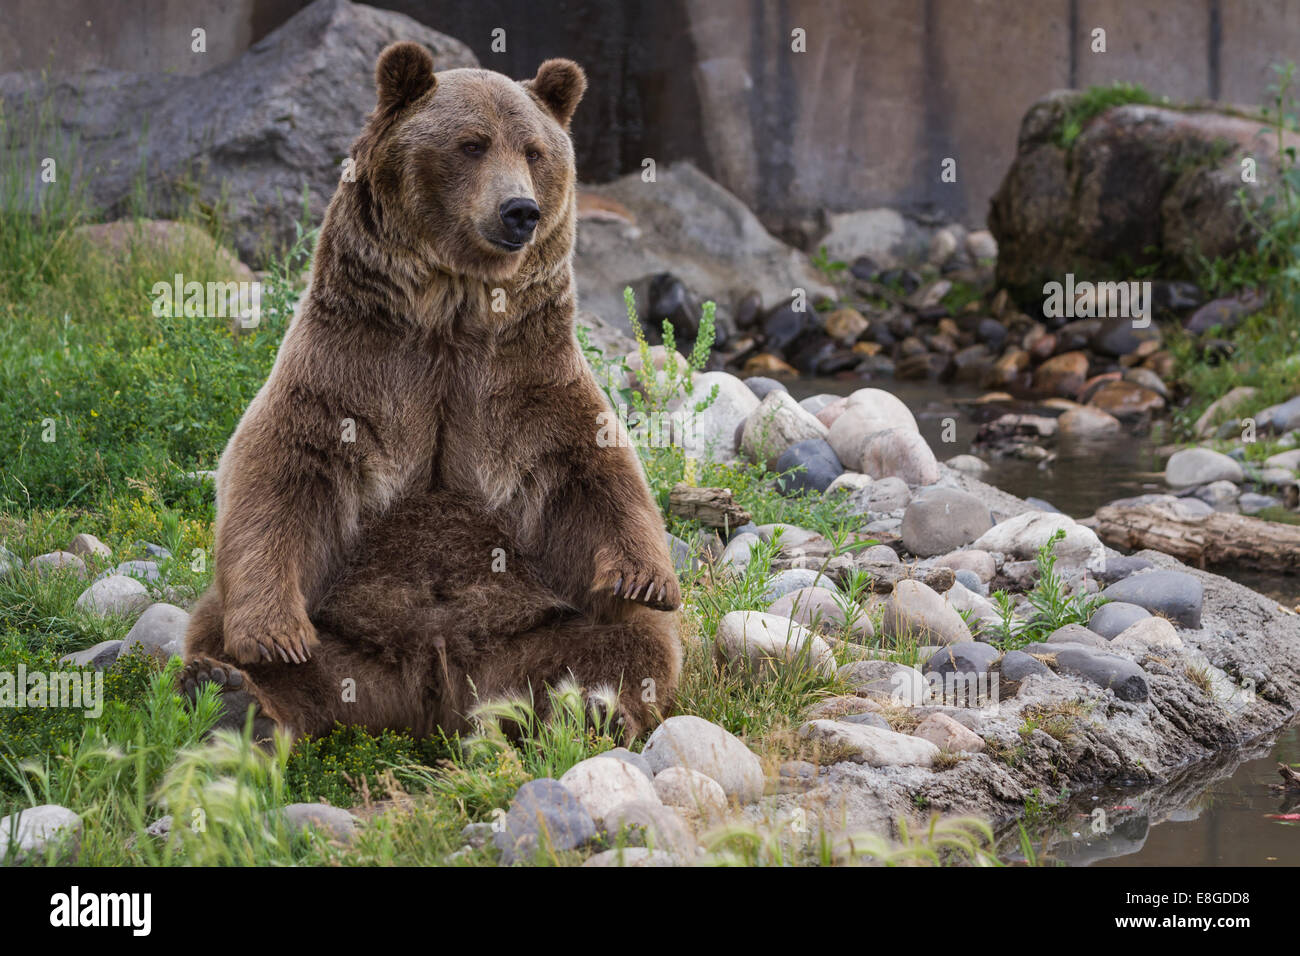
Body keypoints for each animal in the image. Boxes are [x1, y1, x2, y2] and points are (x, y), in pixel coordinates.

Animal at [181, 42, 682, 742]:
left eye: (535, 150)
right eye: (472, 144)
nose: (519, 210)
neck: (451, 312)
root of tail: (434, 691)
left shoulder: (525, 376)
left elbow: (593, 469)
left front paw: (645, 578)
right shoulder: (351, 369)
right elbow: (279, 471)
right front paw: (273, 636)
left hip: (531, 631)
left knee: (631, 641)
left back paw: (594, 708)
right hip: (345, 634)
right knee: (217, 627)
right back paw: (232, 695)